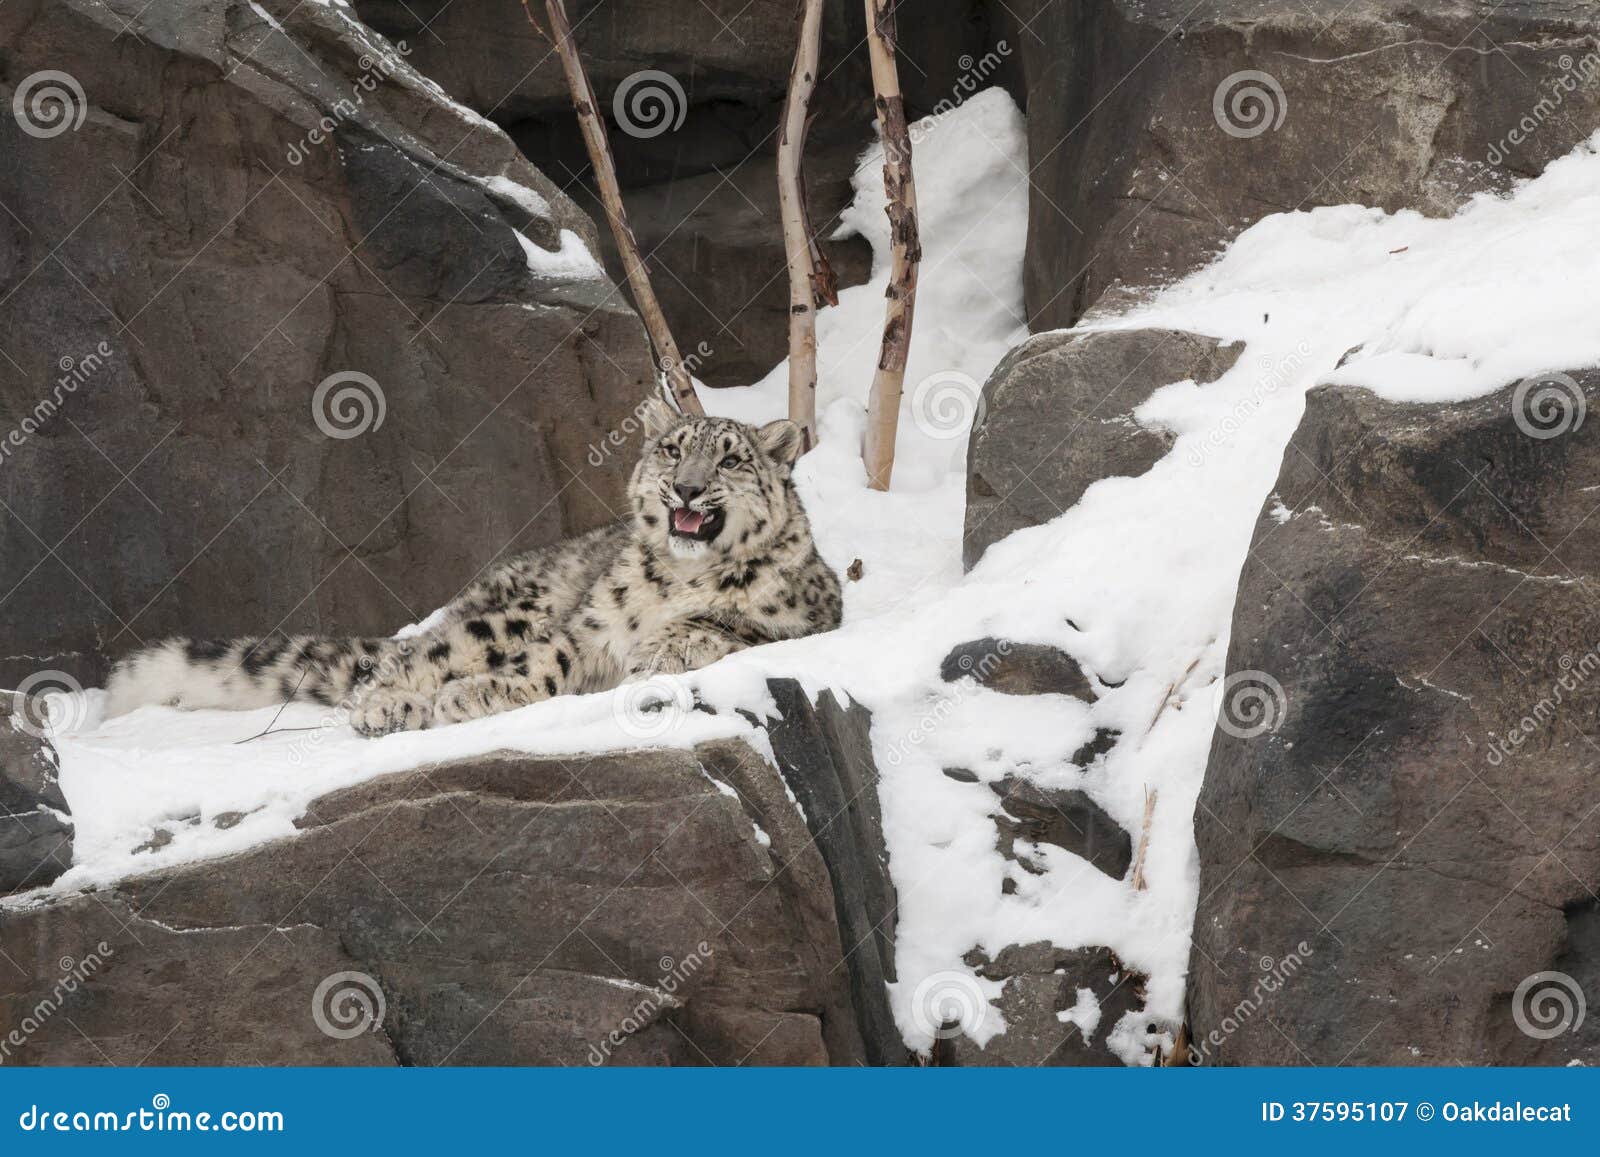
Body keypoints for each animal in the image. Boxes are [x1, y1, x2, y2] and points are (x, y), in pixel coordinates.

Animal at [104, 399, 843, 736]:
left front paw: (667, 645)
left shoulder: (805, 619)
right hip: (498, 619)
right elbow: (547, 663)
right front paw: (476, 697)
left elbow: (724, 626)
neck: (680, 576)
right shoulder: (586, 629)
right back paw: (394, 705)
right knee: (401, 663)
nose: (686, 489)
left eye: (730, 459)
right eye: (671, 449)